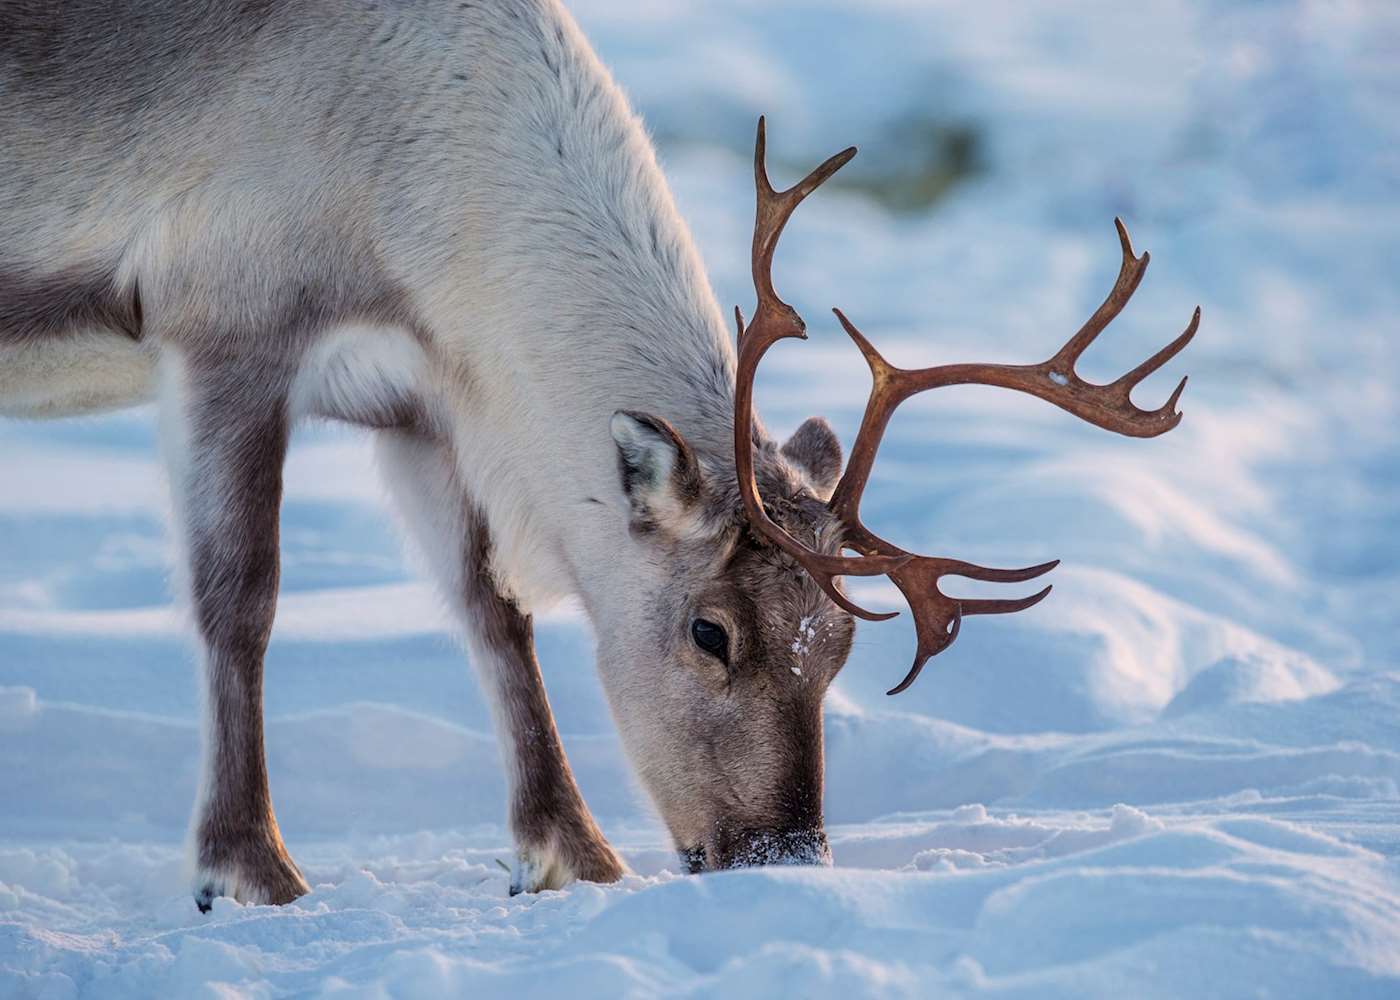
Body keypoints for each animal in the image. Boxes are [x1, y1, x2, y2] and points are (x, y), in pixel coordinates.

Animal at [0, 0, 1199, 910]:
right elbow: (238, 600)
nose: (783, 856)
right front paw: (248, 867)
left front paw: (569, 851)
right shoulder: (223, 324)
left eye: (844, 648)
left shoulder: (421, 398)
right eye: (710, 631)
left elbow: (493, 610)